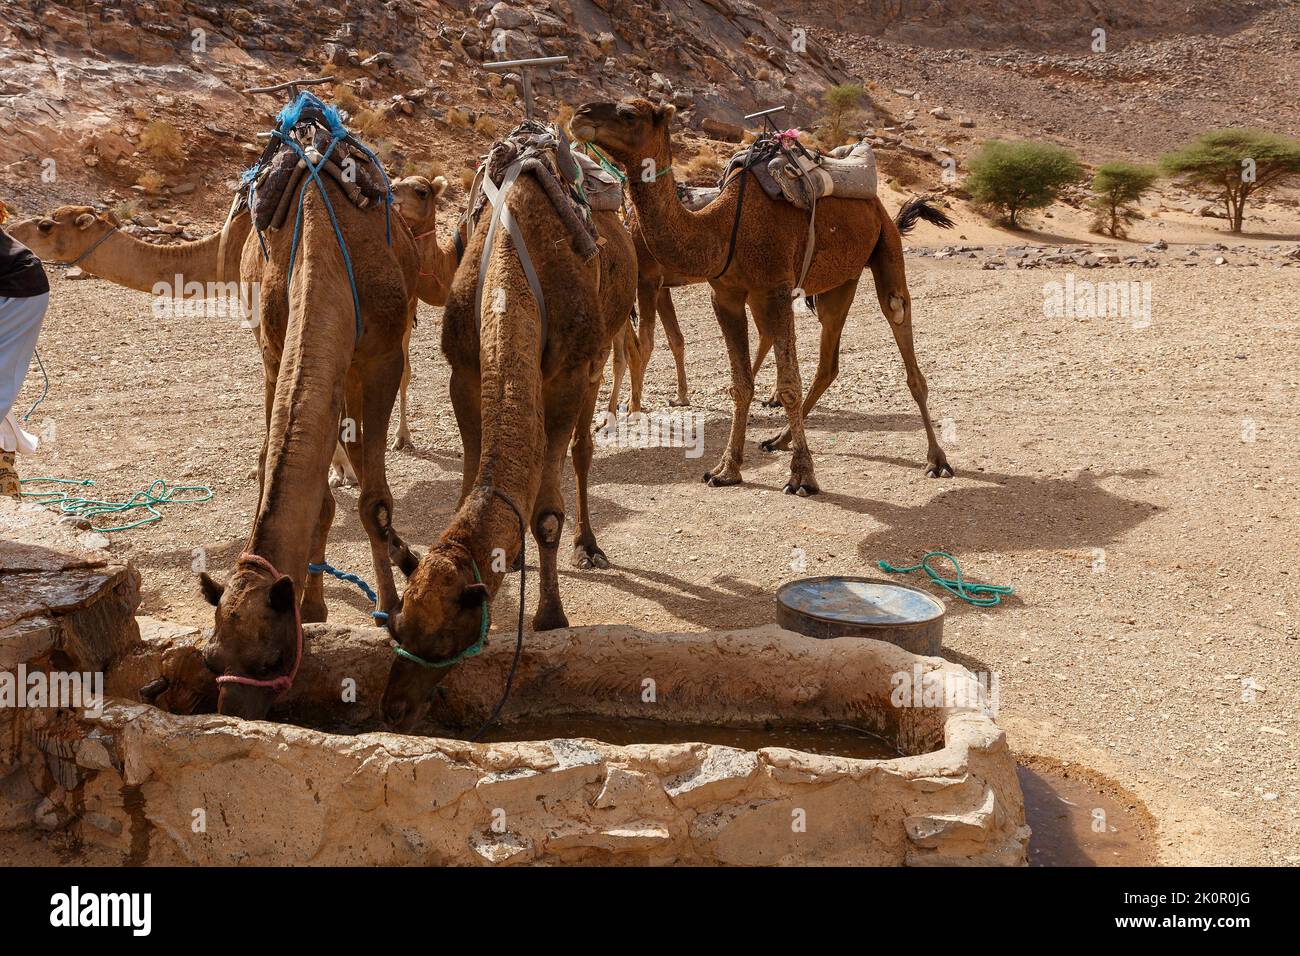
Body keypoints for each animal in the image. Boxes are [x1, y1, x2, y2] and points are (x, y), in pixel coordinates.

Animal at [197, 166, 419, 721]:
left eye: (272, 658)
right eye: (210, 658)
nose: (234, 712)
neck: (325, 264)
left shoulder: (381, 358)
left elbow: (374, 502)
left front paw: (391, 607)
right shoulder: (276, 347)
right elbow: (309, 489)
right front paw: (313, 606)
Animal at [379, 130, 636, 731]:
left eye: (447, 640)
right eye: (396, 626)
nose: (393, 708)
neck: (512, 284)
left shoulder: (568, 375)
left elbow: (547, 513)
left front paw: (550, 614)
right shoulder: (467, 370)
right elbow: (472, 479)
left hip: (598, 354)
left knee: (583, 451)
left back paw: (589, 546)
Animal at [572, 98, 954, 495]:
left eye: (630, 114)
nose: (580, 114)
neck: (723, 227)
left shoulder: (775, 290)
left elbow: (788, 385)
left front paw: (802, 476)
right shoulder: (726, 295)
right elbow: (740, 385)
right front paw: (726, 469)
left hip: (885, 246)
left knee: (900, 325)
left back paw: (937, 459)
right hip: (839, 281)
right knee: (827, 361)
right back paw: (778, 438)